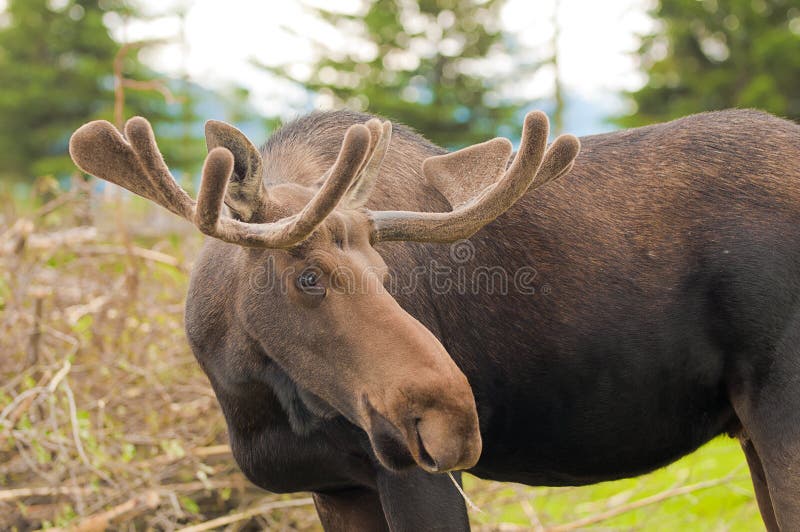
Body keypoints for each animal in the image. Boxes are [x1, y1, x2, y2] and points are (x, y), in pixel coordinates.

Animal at [70, 107, 800, 531]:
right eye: (308, 276)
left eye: (386, 273)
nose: (453, 417)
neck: (251, 394)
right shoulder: (336, 487)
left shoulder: (419, 481)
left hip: (781, 415)